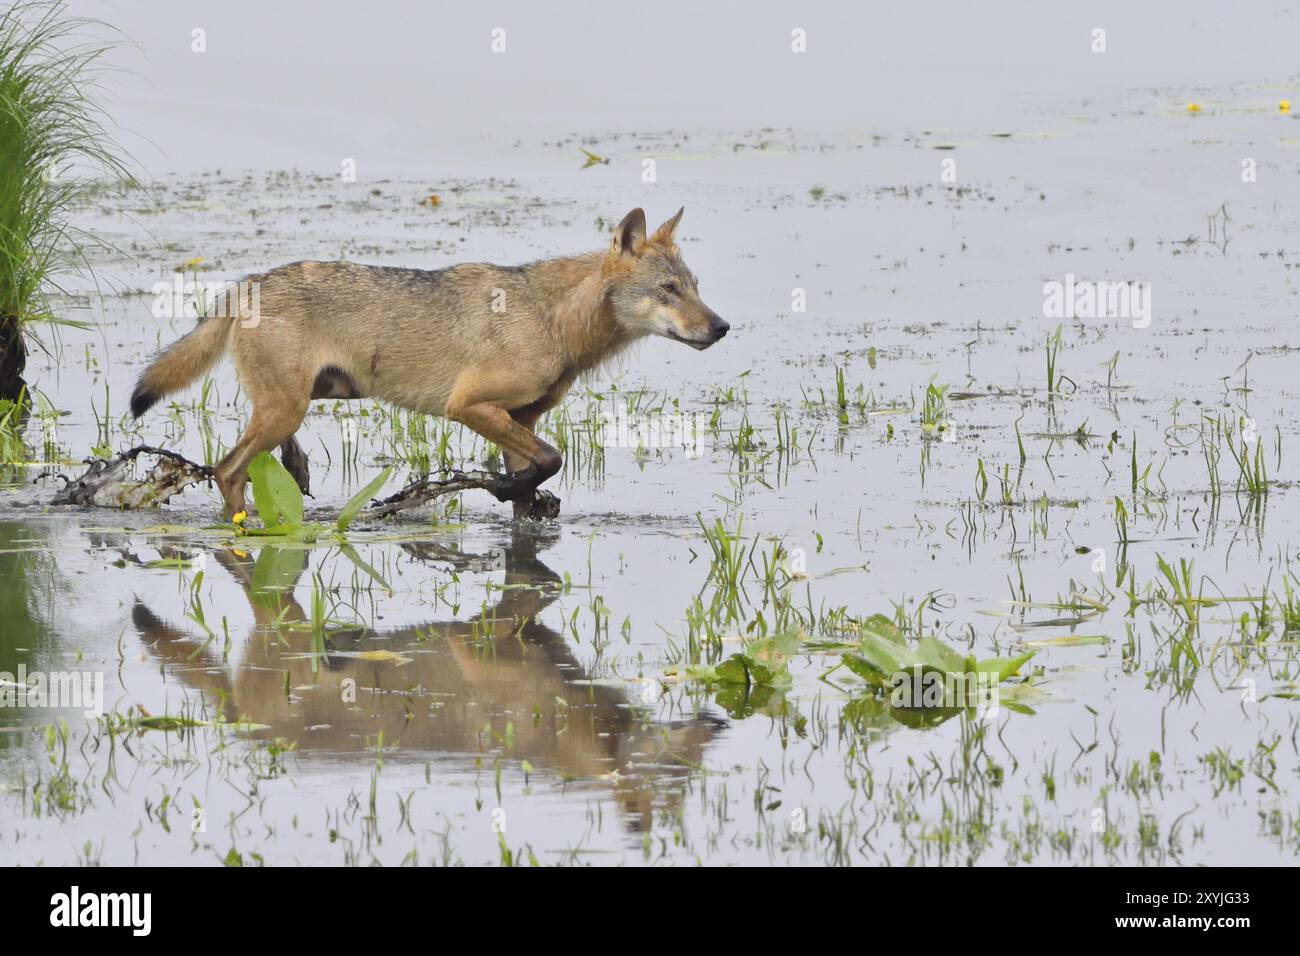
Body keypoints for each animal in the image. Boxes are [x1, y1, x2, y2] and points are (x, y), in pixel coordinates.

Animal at [129, 207, 728, 519]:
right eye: (668, 290)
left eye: (697, 287)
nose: (722, 328)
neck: (554, 320)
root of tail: (250, 281)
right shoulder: (468, 406)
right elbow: (552, 459)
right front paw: (497, 488)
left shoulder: (520, 420)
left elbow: (533, 477)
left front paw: (514, 495)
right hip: (291, 405)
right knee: (228, 468)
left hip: (317, 395)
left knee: (255, 454)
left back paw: (294, 470)